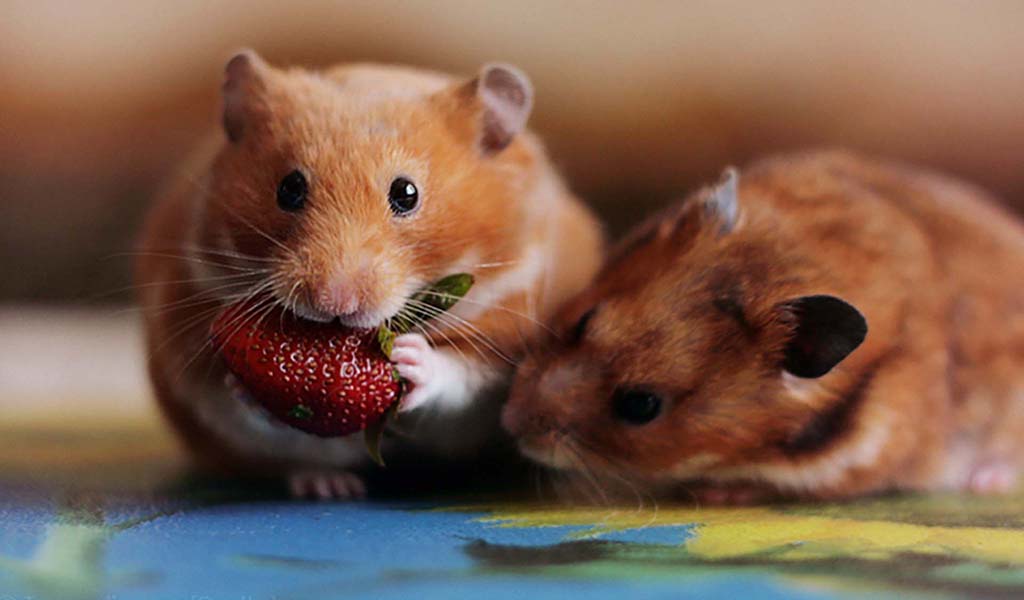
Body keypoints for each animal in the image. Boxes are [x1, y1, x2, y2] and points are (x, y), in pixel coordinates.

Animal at [135, 50, 603, 499]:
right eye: (289, 188)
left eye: (406, 193)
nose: (333, 304)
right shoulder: (194, 353)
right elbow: (244, 410)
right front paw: (243, 386)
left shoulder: (508, 331)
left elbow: (462, 375)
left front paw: (410, 358)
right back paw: (329, 487)